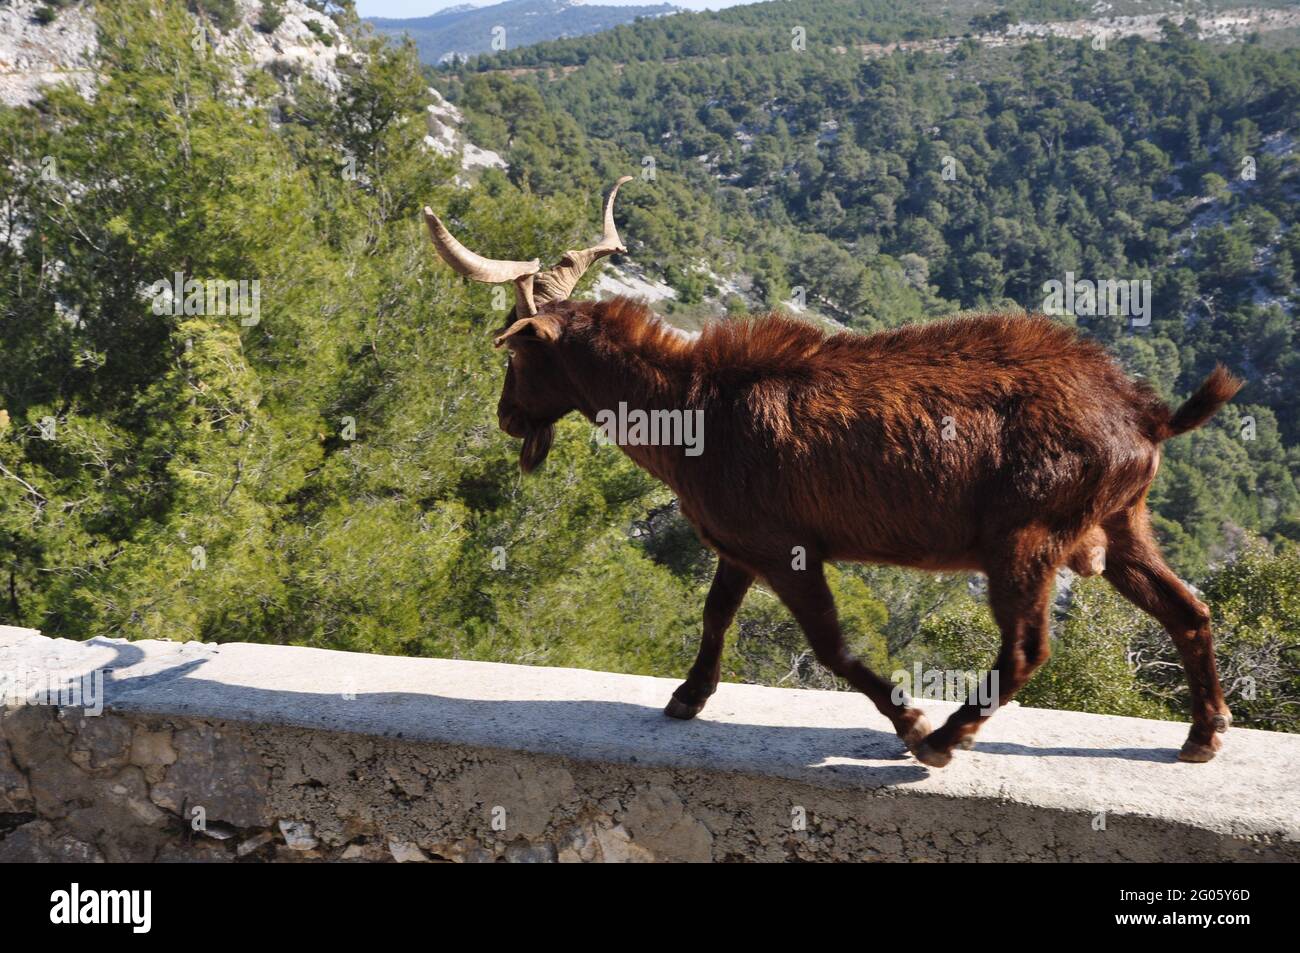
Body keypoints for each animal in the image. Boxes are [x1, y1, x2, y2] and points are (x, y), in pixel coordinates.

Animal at [425, 180, 1242, 766]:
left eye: (516, 349)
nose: (506, 417)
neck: (693, 405)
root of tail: (1144, 414)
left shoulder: (788, 548)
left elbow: (831, 646)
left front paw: (908, 718)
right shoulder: (739, 544)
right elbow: (715, 614)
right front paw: (687, 697)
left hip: (1028, 536)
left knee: (1027, 648)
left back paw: (946, 739)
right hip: (1120, 525)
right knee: (1189, 610)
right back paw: (1203, 734)